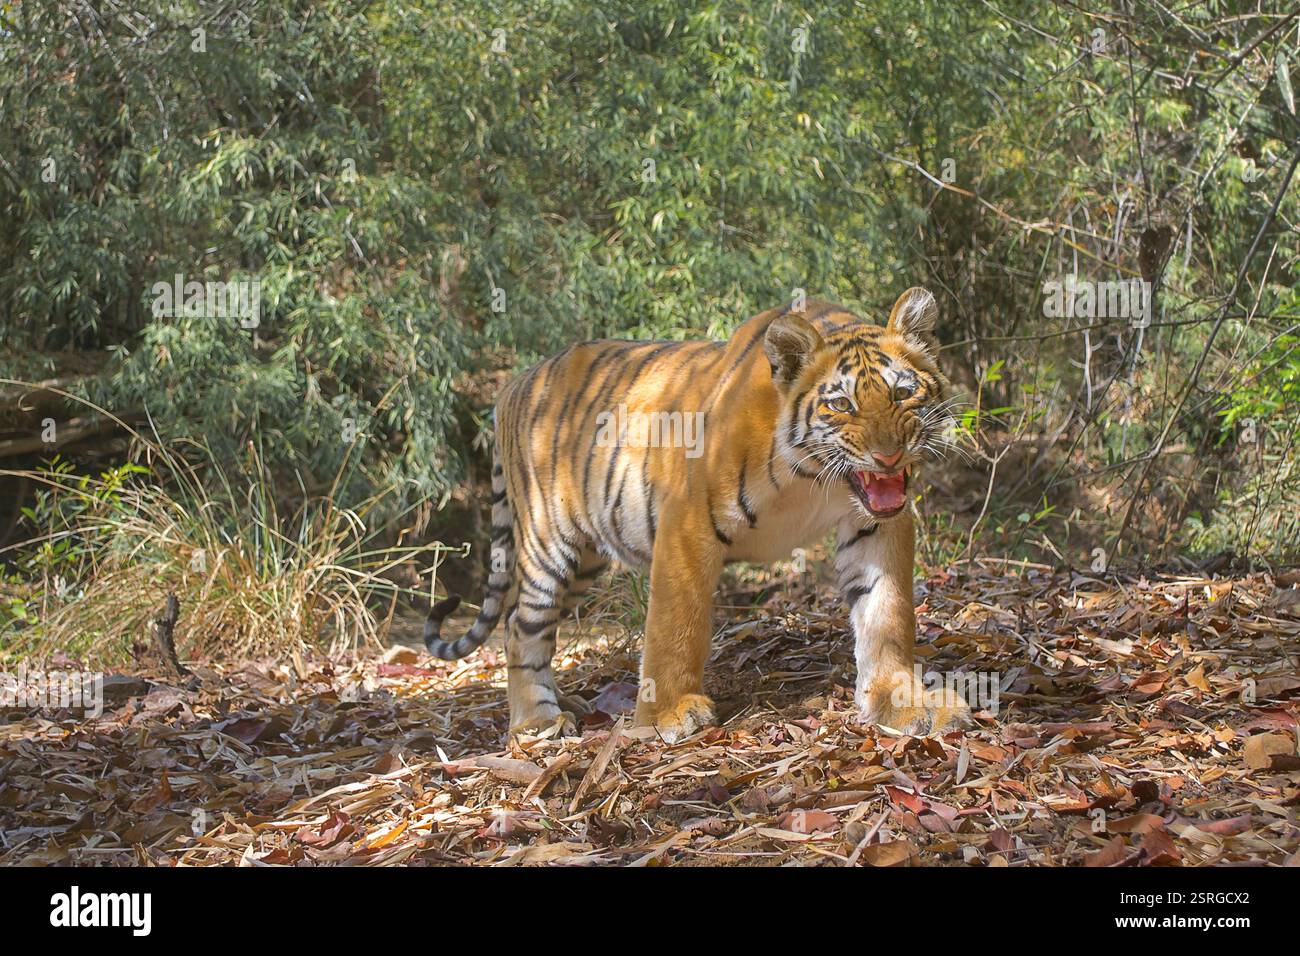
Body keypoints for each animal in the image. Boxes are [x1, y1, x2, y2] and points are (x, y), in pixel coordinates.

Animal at [425, 288, 971, 742]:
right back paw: (535, 722)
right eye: (841, 404)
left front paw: (903, 701)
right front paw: (667, 713)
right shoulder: (686, 523)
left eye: (902, 392)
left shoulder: (874, 524)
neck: (814, 478)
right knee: (520, 628)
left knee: (528, 624)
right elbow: (674, 627)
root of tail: (514, 383)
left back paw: (564, 703)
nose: (888, 456)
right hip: (548, 544)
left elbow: (887, 613)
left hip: (584, 561)